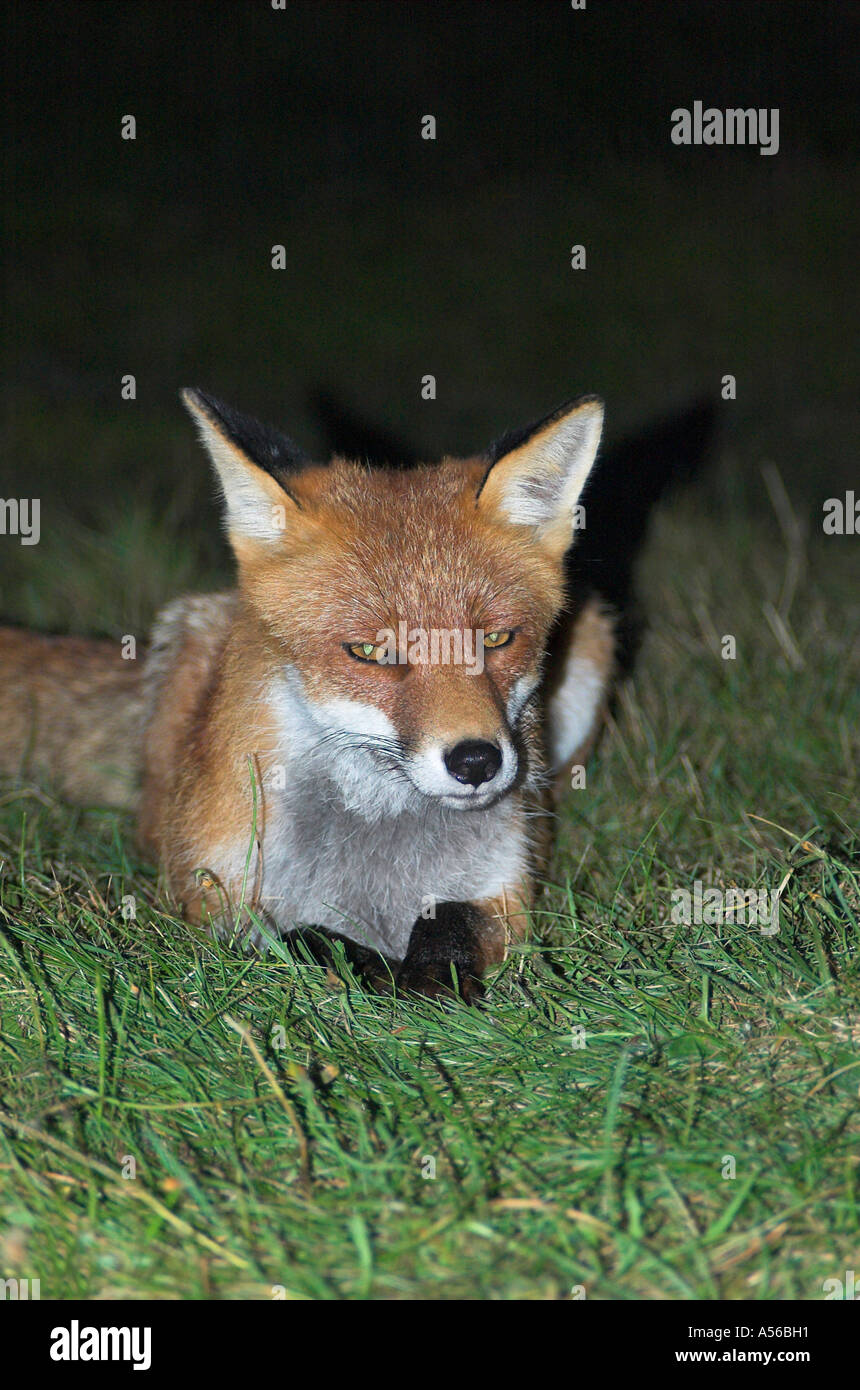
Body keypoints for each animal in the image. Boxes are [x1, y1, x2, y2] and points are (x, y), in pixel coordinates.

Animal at [1, 387, 714, 997]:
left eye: (496, 639)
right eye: (370, 652)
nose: (477, 762)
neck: (376, 846)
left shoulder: (506, 891)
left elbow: (452, 921)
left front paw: (432, 979)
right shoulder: (210, 897)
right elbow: (305, 935)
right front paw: (369, 970)